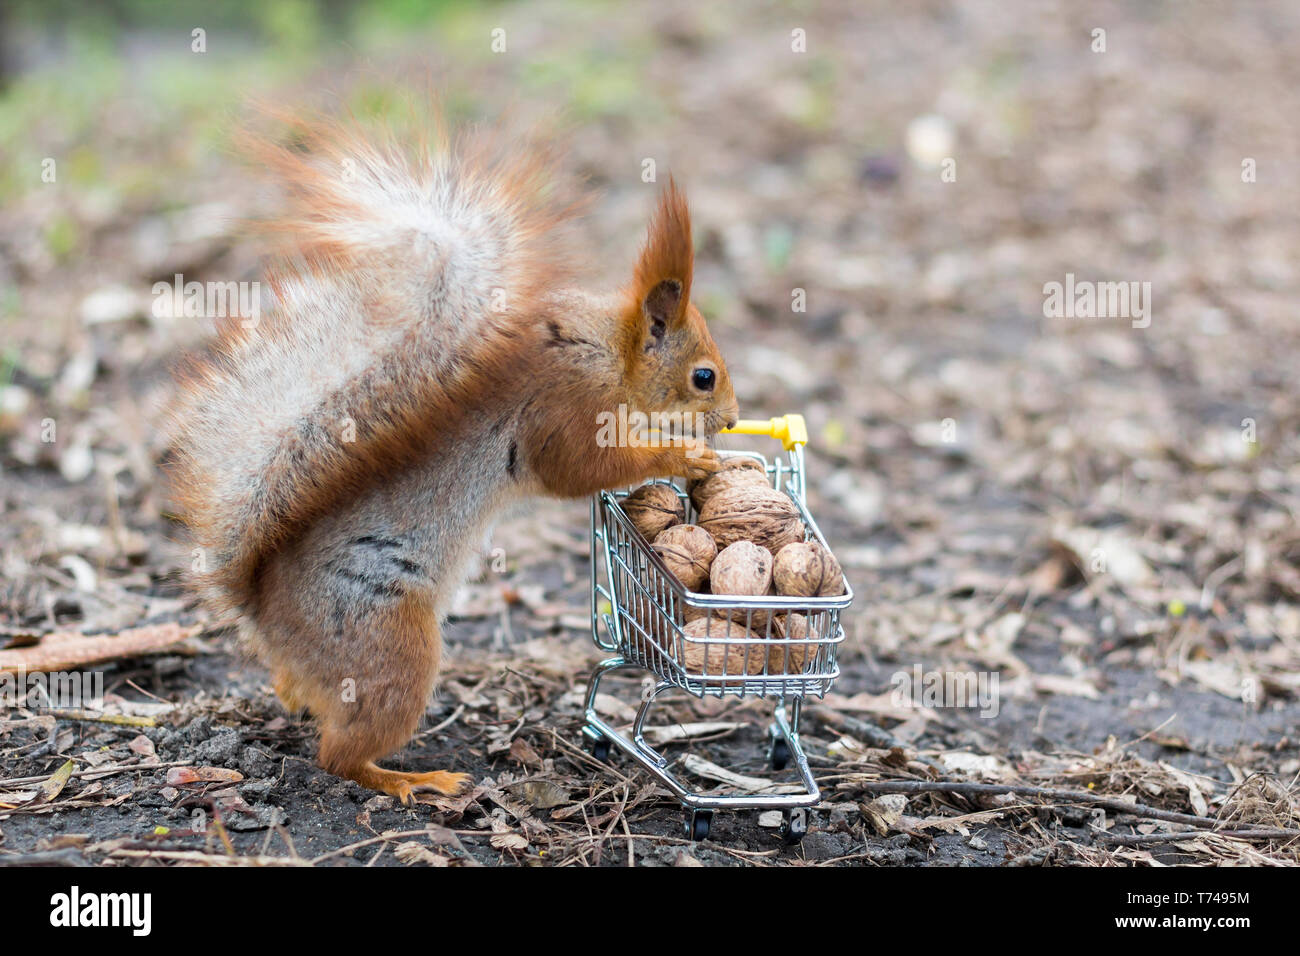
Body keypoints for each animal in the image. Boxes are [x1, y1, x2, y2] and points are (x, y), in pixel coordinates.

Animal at [167, 115, 740, 802]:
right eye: (704, 377)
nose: (732, 419)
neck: (605, 351)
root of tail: (264, 613)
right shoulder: (562, 409)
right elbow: (581, 469)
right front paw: (687, 456)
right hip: (388, 645)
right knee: (339, 755)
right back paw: (414, 779)